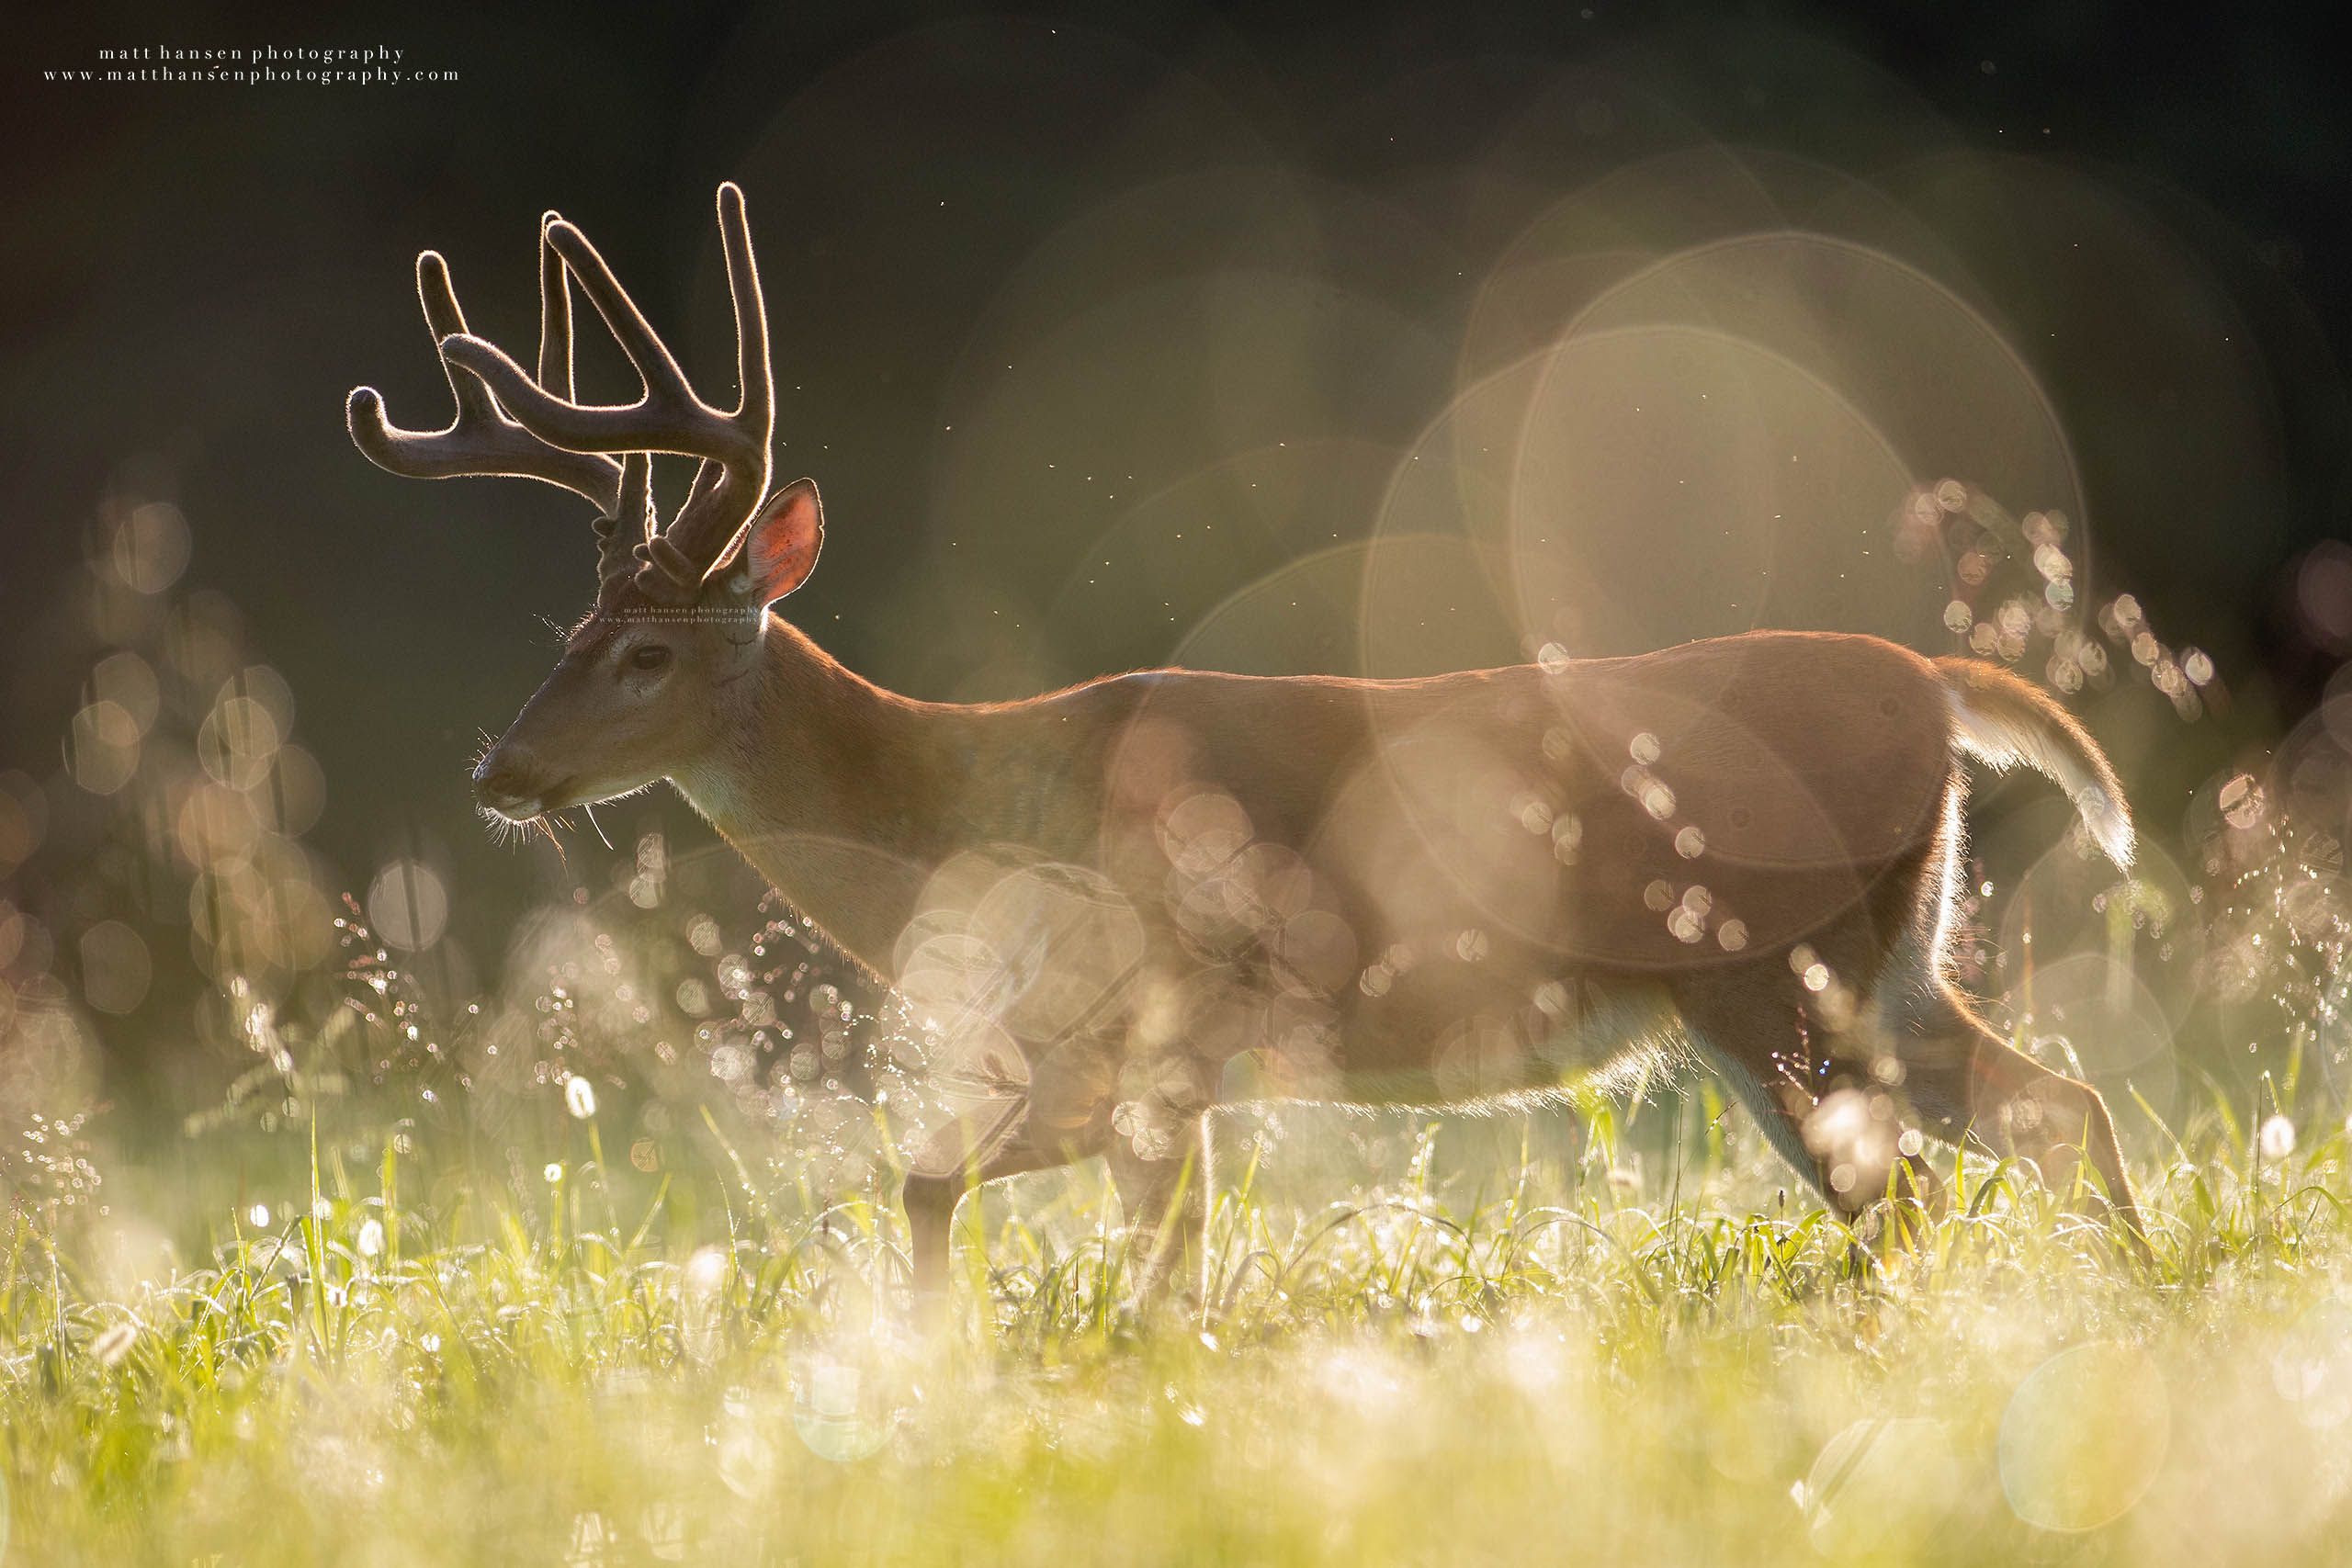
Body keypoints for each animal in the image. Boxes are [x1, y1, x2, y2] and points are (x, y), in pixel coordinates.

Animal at [348, 183, 2148, 1312]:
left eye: (646, 649)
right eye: (565, 635)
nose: (499, 773)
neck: (960, 815)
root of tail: (1934, 683)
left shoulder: (1149, 1023)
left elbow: (944, 1190)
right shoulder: (1165, 1067)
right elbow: (1139, 1244)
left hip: (1767, 970)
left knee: (1910, 1191)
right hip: (1881, 967)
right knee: (2055, 1103)